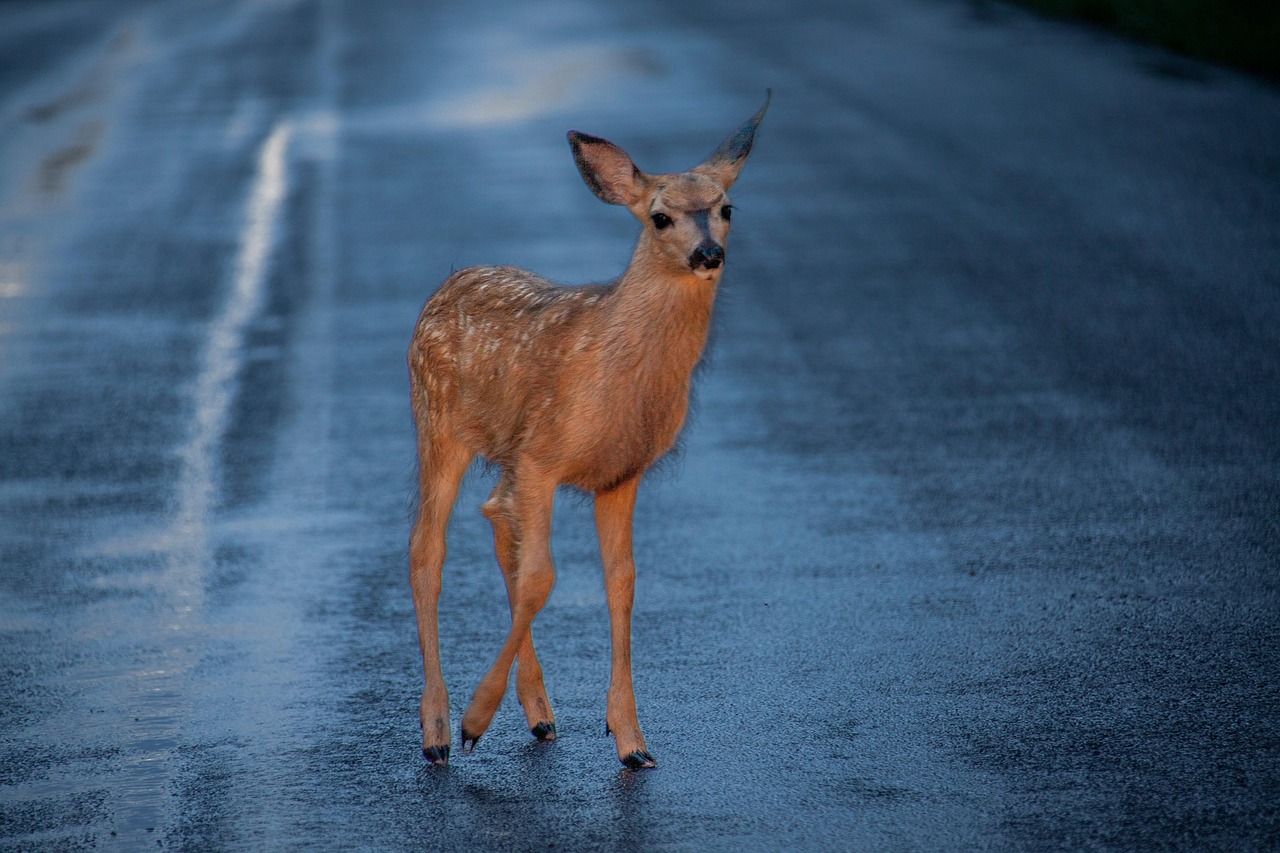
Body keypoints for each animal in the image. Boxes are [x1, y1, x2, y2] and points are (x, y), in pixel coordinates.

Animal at [407, 93, 769, 769]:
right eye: (659, 217)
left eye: (727, 209)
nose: (708, 254)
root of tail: (448, 282)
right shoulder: (543, 455)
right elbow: (543, 578)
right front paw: (474, 722)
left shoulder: (619, 474)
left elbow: (621, 582)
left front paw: (632, 741)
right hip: (438, 420)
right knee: (427, 549)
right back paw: (439, 729)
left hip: (501, 452)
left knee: (494, 515)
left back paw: (540, 714)